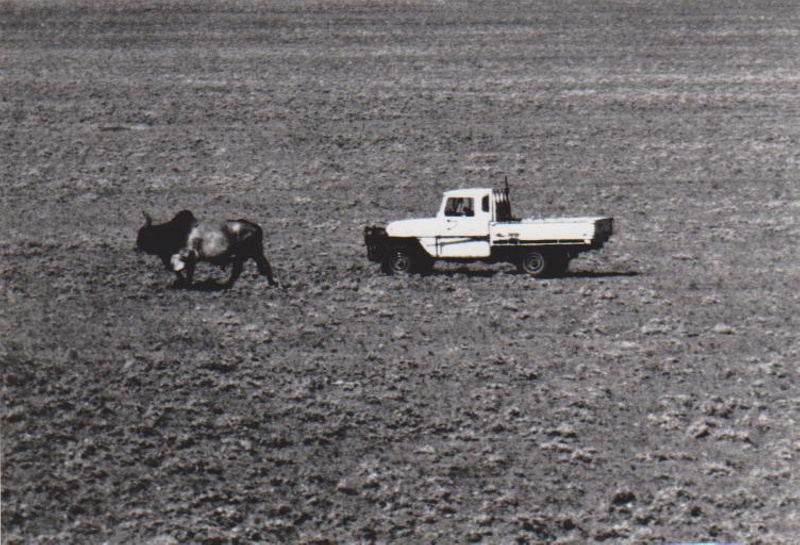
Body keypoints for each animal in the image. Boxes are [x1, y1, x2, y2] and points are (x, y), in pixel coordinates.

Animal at [136, 210, 278, 289]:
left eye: (142, 235)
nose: (137, 246)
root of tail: (257, 229)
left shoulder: (189, 257)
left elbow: (185, 272)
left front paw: (187, 285)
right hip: (255, 254)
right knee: (261, 267)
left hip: (249, 254)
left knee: (244, 270)